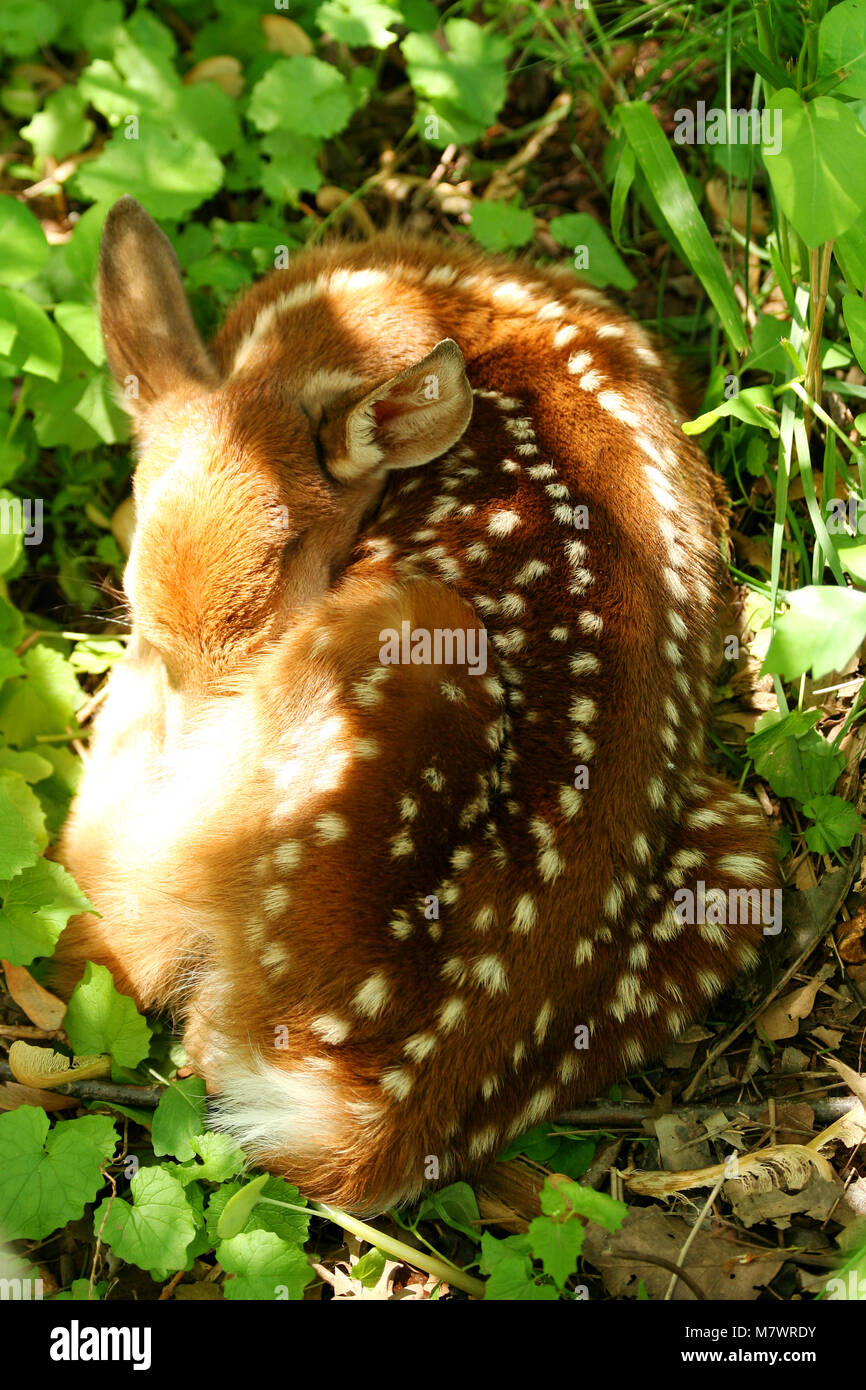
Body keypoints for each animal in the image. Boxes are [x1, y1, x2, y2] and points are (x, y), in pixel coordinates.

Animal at [50, 196, 781, 1214]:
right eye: (137, 599)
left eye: (293, 576)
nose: (197, 759)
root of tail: (372, 1119)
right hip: (744, 857)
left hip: (403, 650)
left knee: (113, 936)